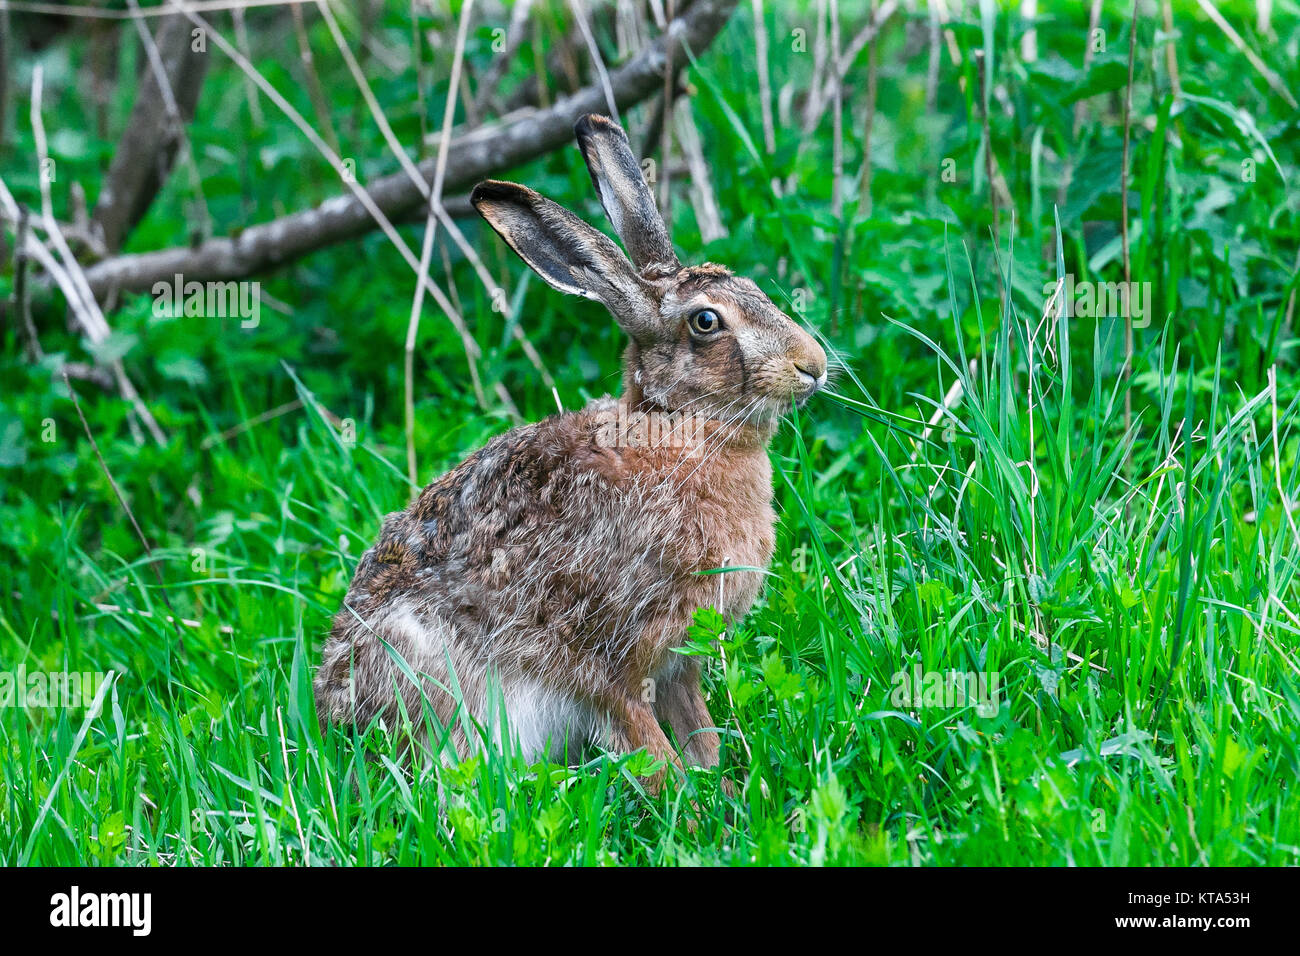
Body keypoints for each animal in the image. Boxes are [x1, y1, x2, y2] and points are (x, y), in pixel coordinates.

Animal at [314, 113, 827, 794]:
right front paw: (689, 808)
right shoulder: (609, 661)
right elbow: (647, 743)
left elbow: (699, 732)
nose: (813, 365)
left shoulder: (679, 661)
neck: (677, 428)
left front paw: (723, 790)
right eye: (707, 323)